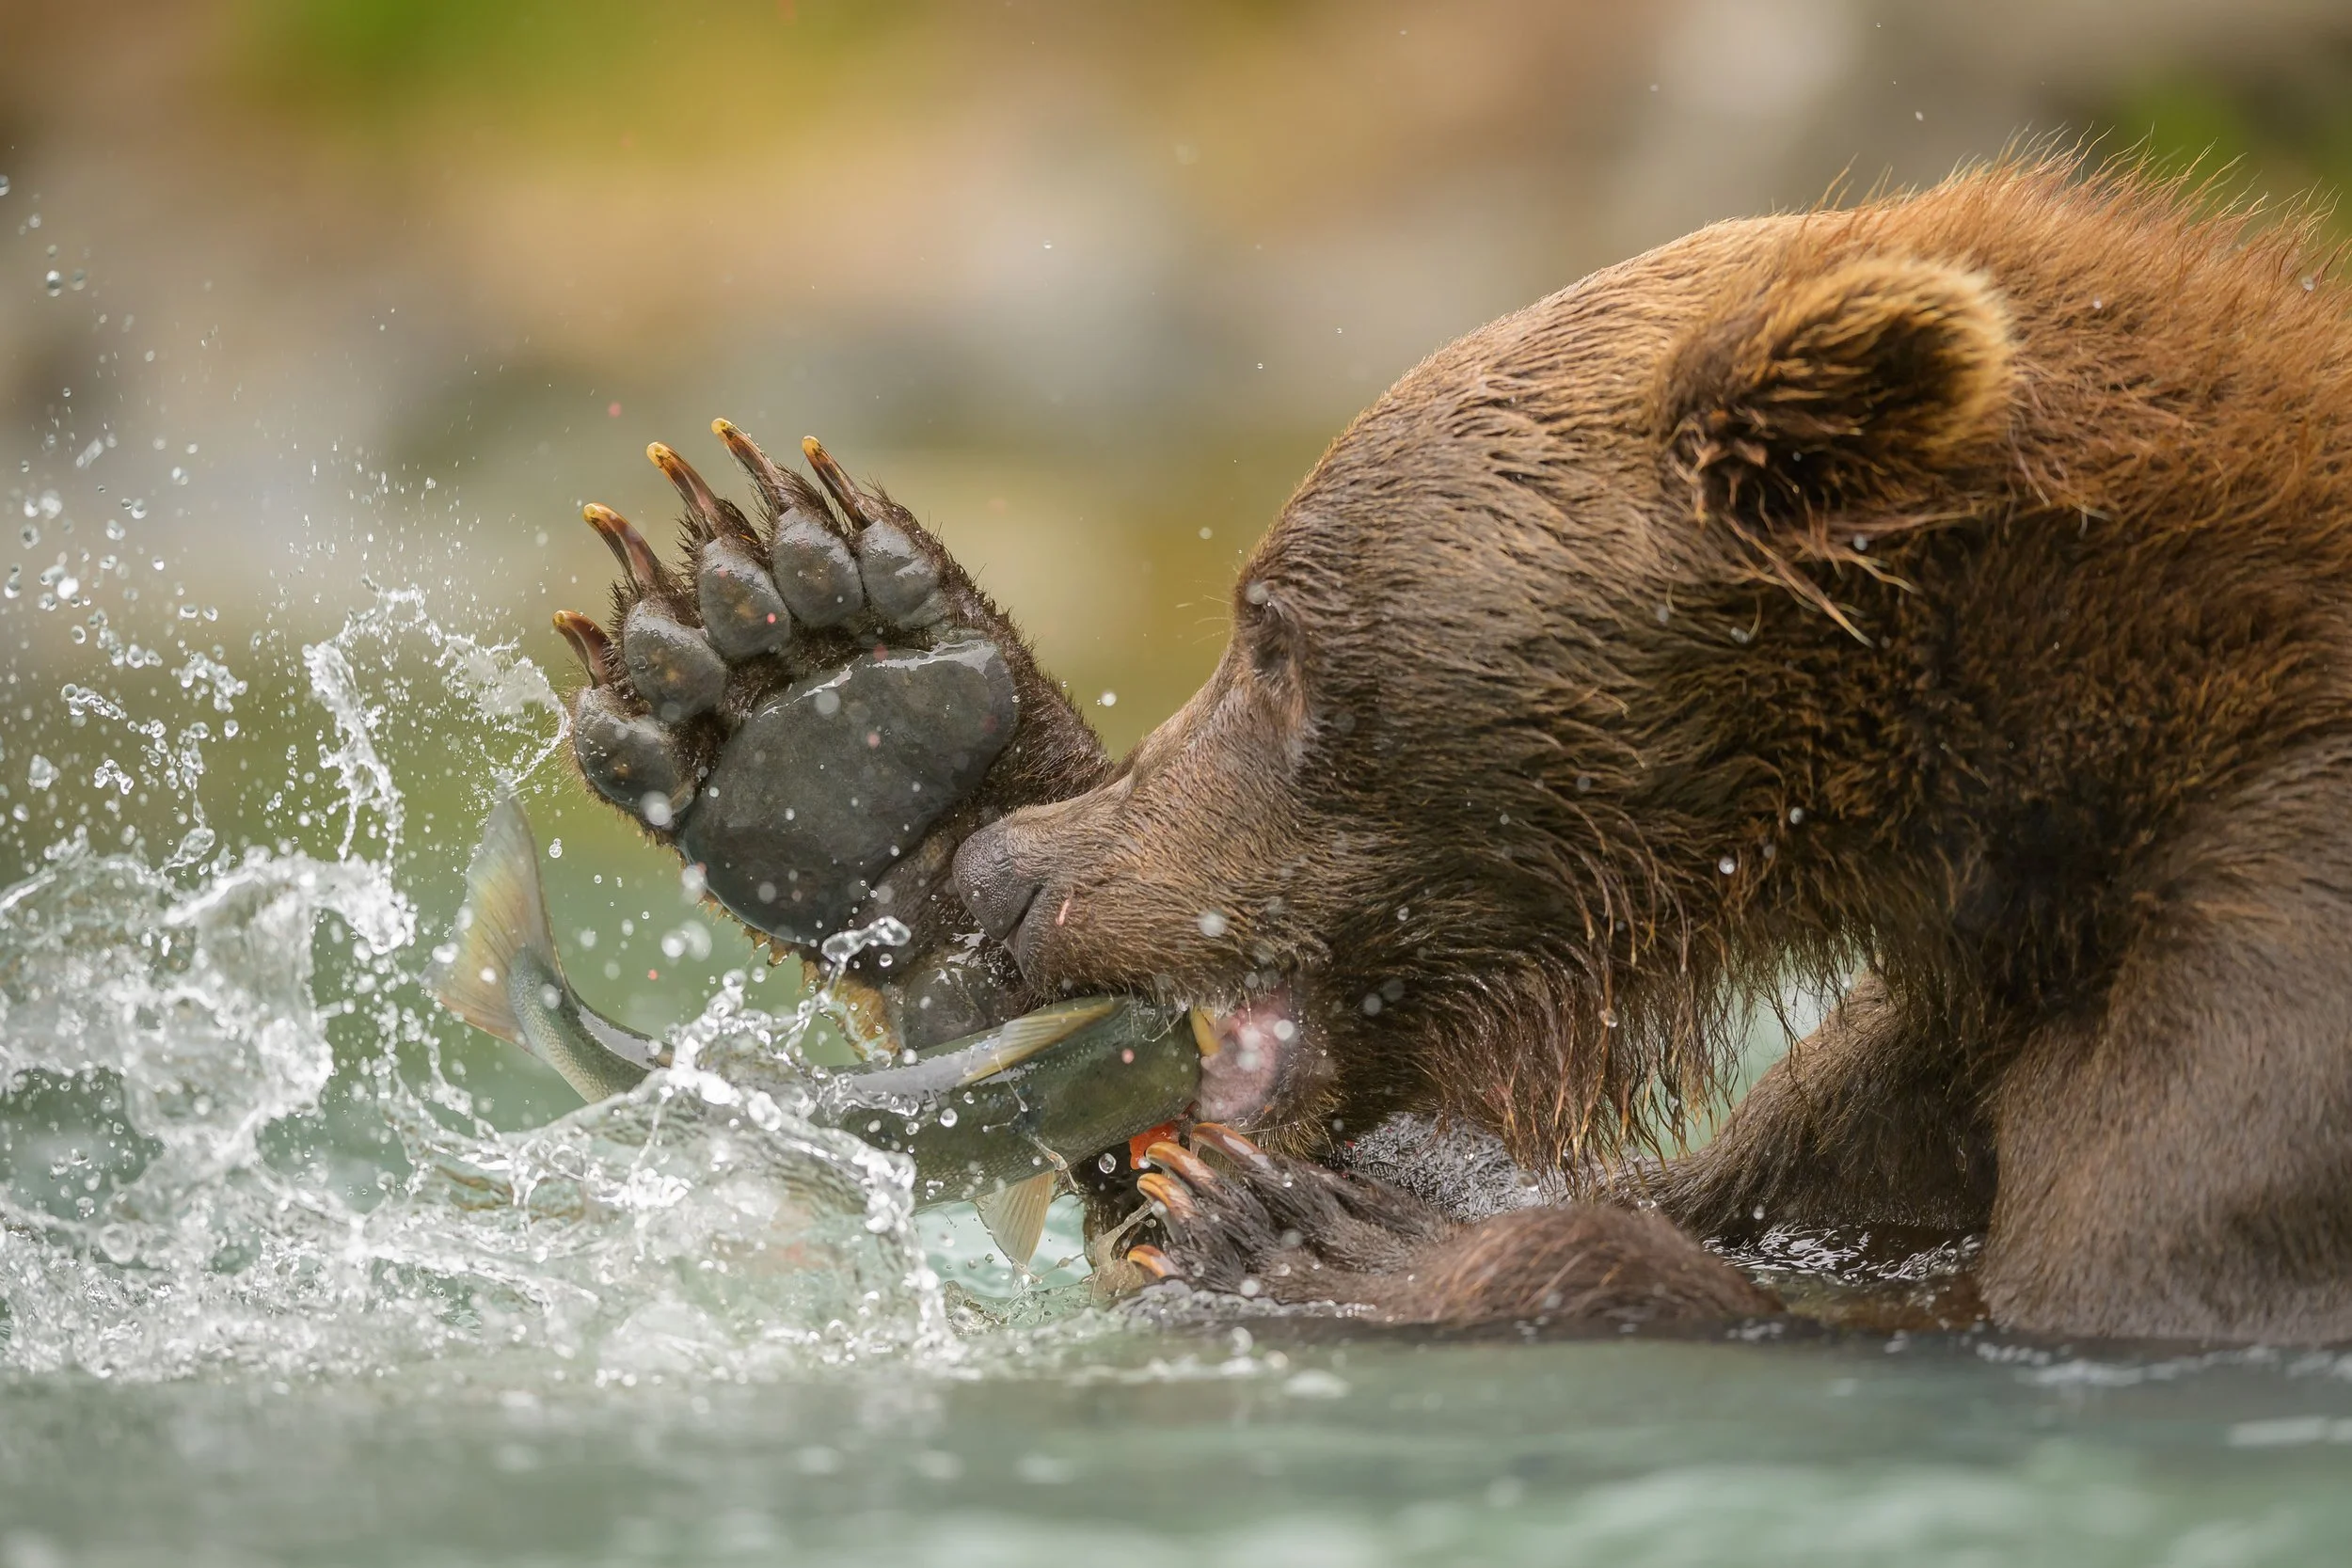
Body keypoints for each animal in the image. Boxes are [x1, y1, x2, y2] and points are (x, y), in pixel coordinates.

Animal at [554, 155, 2352, 1343]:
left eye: (1275, 629)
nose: (1011, 877)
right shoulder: (1929, 1052)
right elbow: (1761, 1207)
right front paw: (825, 697)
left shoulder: (2252, 1006)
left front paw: (1327, 1239)